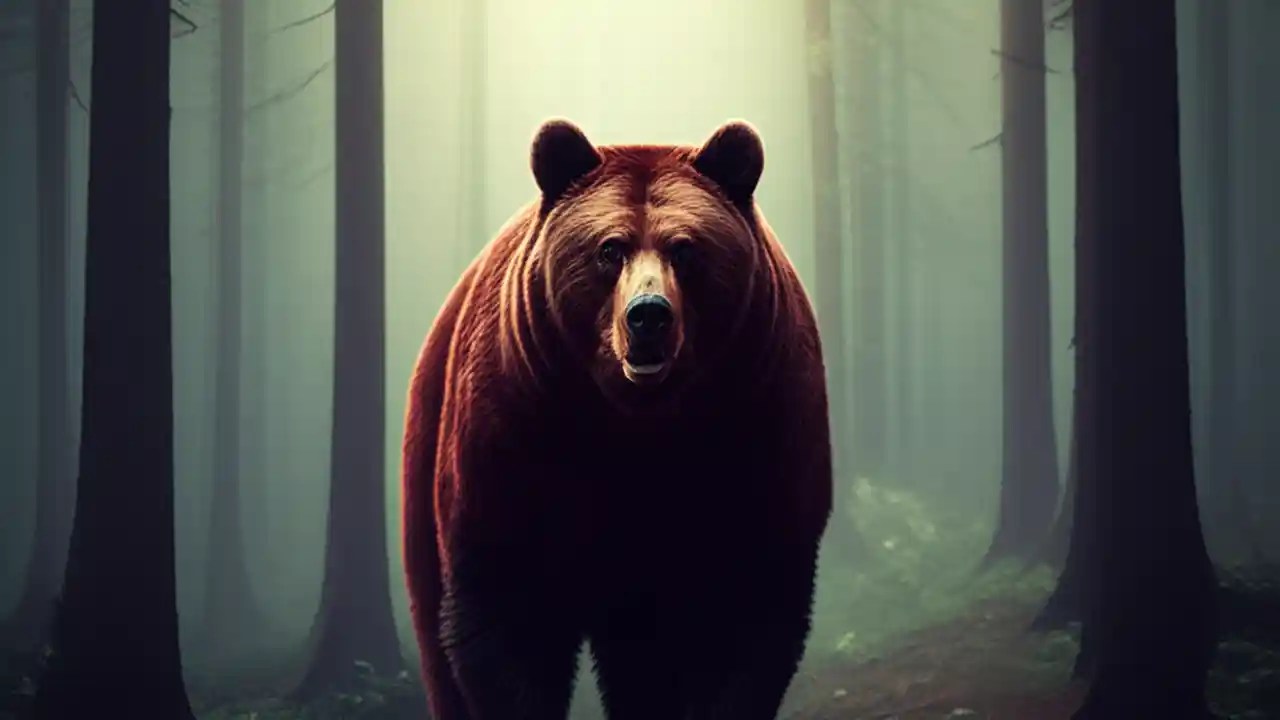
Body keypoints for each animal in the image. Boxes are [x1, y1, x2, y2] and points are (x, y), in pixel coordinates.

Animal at [401, 118, 833, 720]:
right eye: (610, 249)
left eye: (686, 248)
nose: (648, 315)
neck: (633, 421)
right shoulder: (515, 431)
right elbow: (503, 615)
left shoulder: (757, 423)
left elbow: (747, 618)